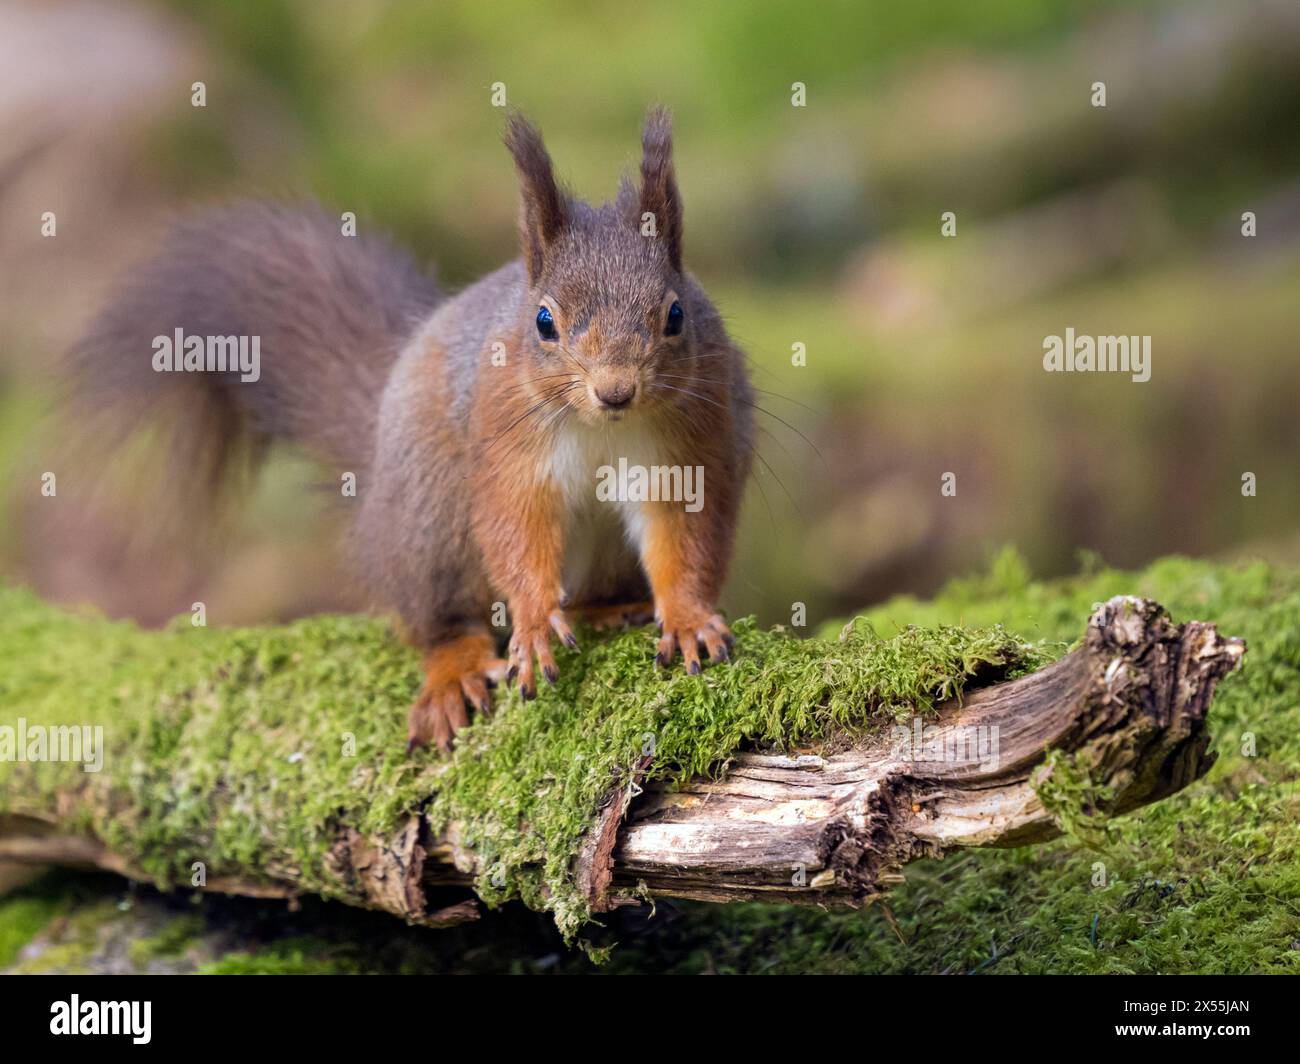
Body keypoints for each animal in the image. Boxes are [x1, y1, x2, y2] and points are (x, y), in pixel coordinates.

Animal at [68, 108, 754, 750]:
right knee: (439, 620)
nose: (615, 391)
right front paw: (534, 621)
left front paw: (687, 618)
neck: (601, 427)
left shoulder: (691, 443)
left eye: (675, 315)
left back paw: (615, 608)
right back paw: (454, 672)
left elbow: (684, 536)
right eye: (543, 322)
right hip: (430, 522)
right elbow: (517, 528)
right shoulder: (505, 444)